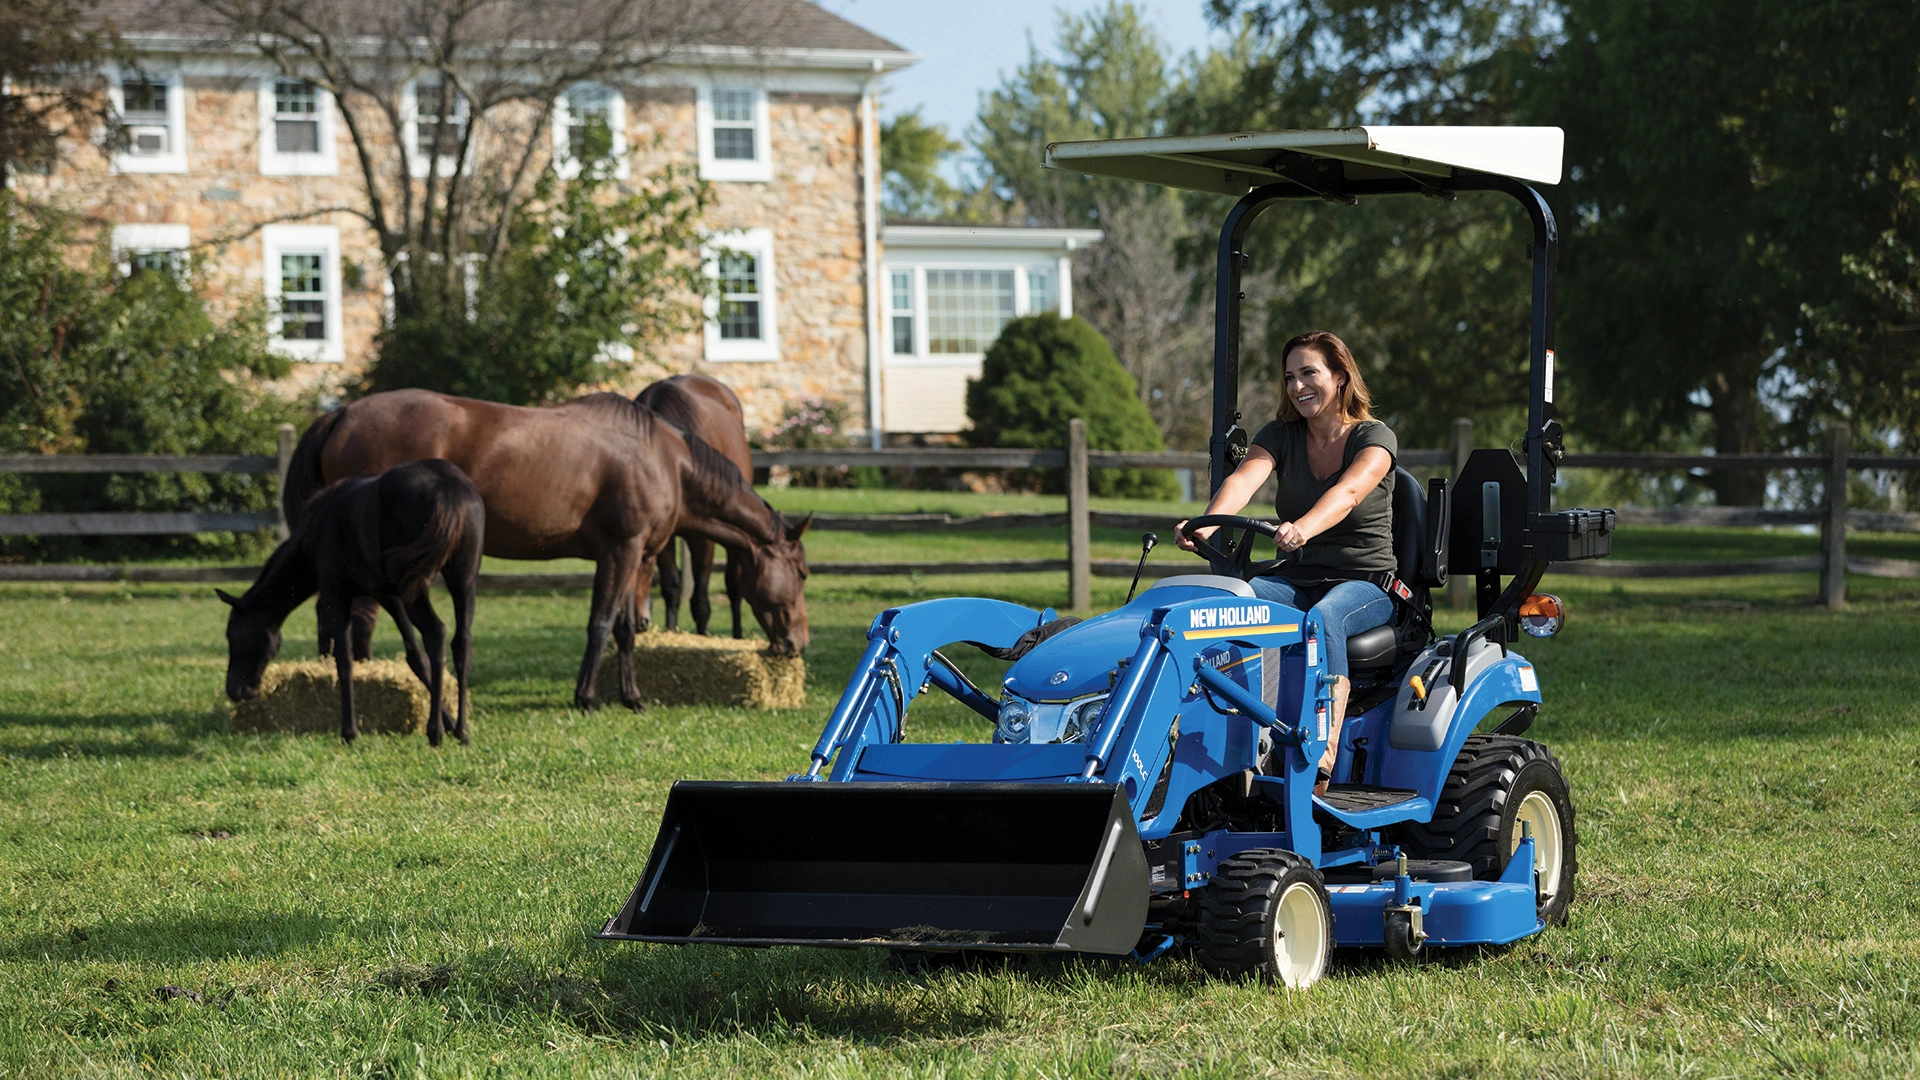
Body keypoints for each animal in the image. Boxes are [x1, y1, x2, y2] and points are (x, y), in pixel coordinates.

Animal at [221, 457, 483, 745]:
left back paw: (434, 731)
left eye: (234, 637)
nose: (235, 690)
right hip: (463, 580)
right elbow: (416, 658)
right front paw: (449, 721)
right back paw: (462, 731)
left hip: (416, 588)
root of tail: (449, 489)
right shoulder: (387, 595)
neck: (314, 531)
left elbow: (344, 660)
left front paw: (349, 731)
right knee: (461, 643)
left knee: (436, 632)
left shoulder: (336, 594)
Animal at [629, 374, 748, 634]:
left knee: (734, 584)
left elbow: (700, 602)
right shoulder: (662, 539)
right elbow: (671, 588)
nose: (637, 621)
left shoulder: (702, 538)